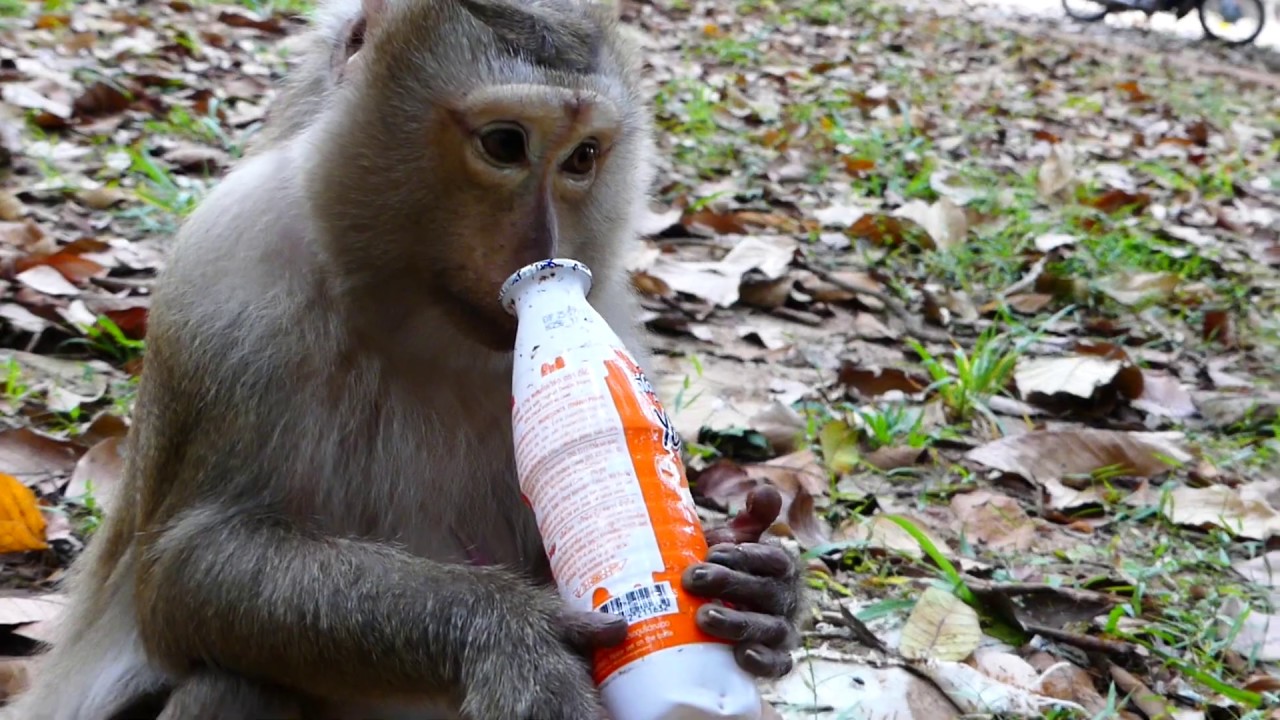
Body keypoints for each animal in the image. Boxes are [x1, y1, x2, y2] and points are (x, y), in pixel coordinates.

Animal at [3, 0, 805, 718]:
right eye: (505, 145)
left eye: (582, 158)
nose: (545, 251)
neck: (411, 313)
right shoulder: (229, 274)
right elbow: (186, 571)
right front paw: (509, 635)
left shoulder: (606, 305)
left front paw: (756, 582)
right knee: (235, 682)